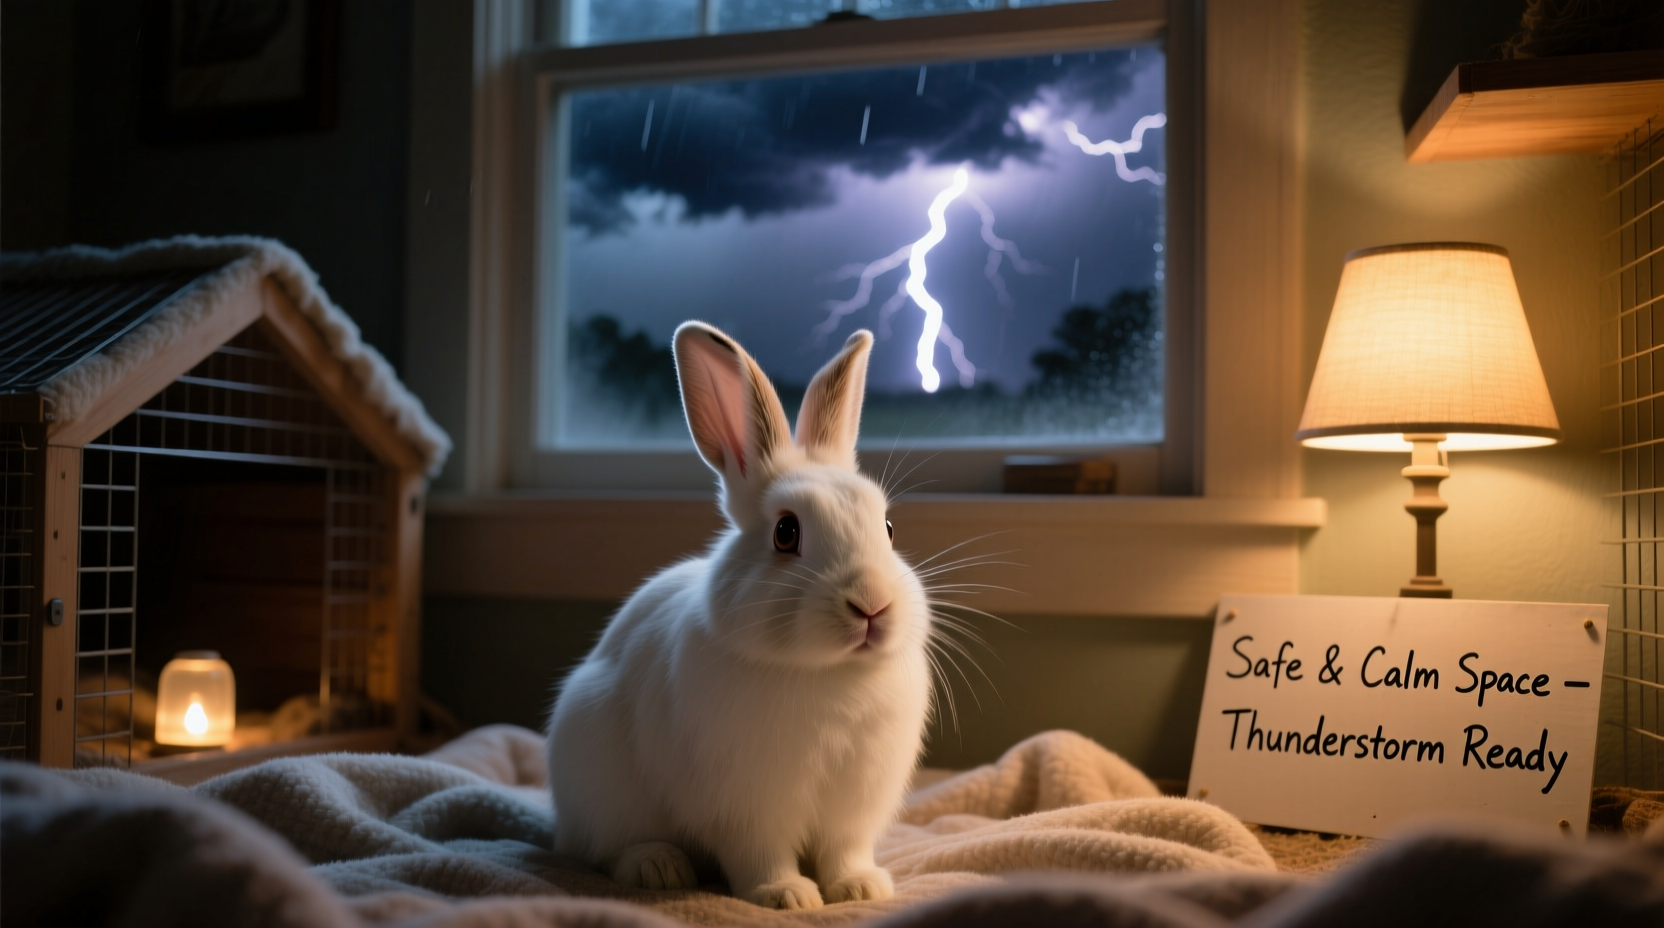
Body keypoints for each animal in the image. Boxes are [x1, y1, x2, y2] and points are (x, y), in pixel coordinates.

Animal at [546, 321, 934, 910]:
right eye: (786, 532)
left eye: (888, 528)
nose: (871, 604)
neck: (830, 675)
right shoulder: (747, 806)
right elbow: (760, 854)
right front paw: (788, 896)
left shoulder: (853, 808)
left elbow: (845, 850)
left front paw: (860, 888)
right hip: (598, 770)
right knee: (604, 847)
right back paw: (658, 868)